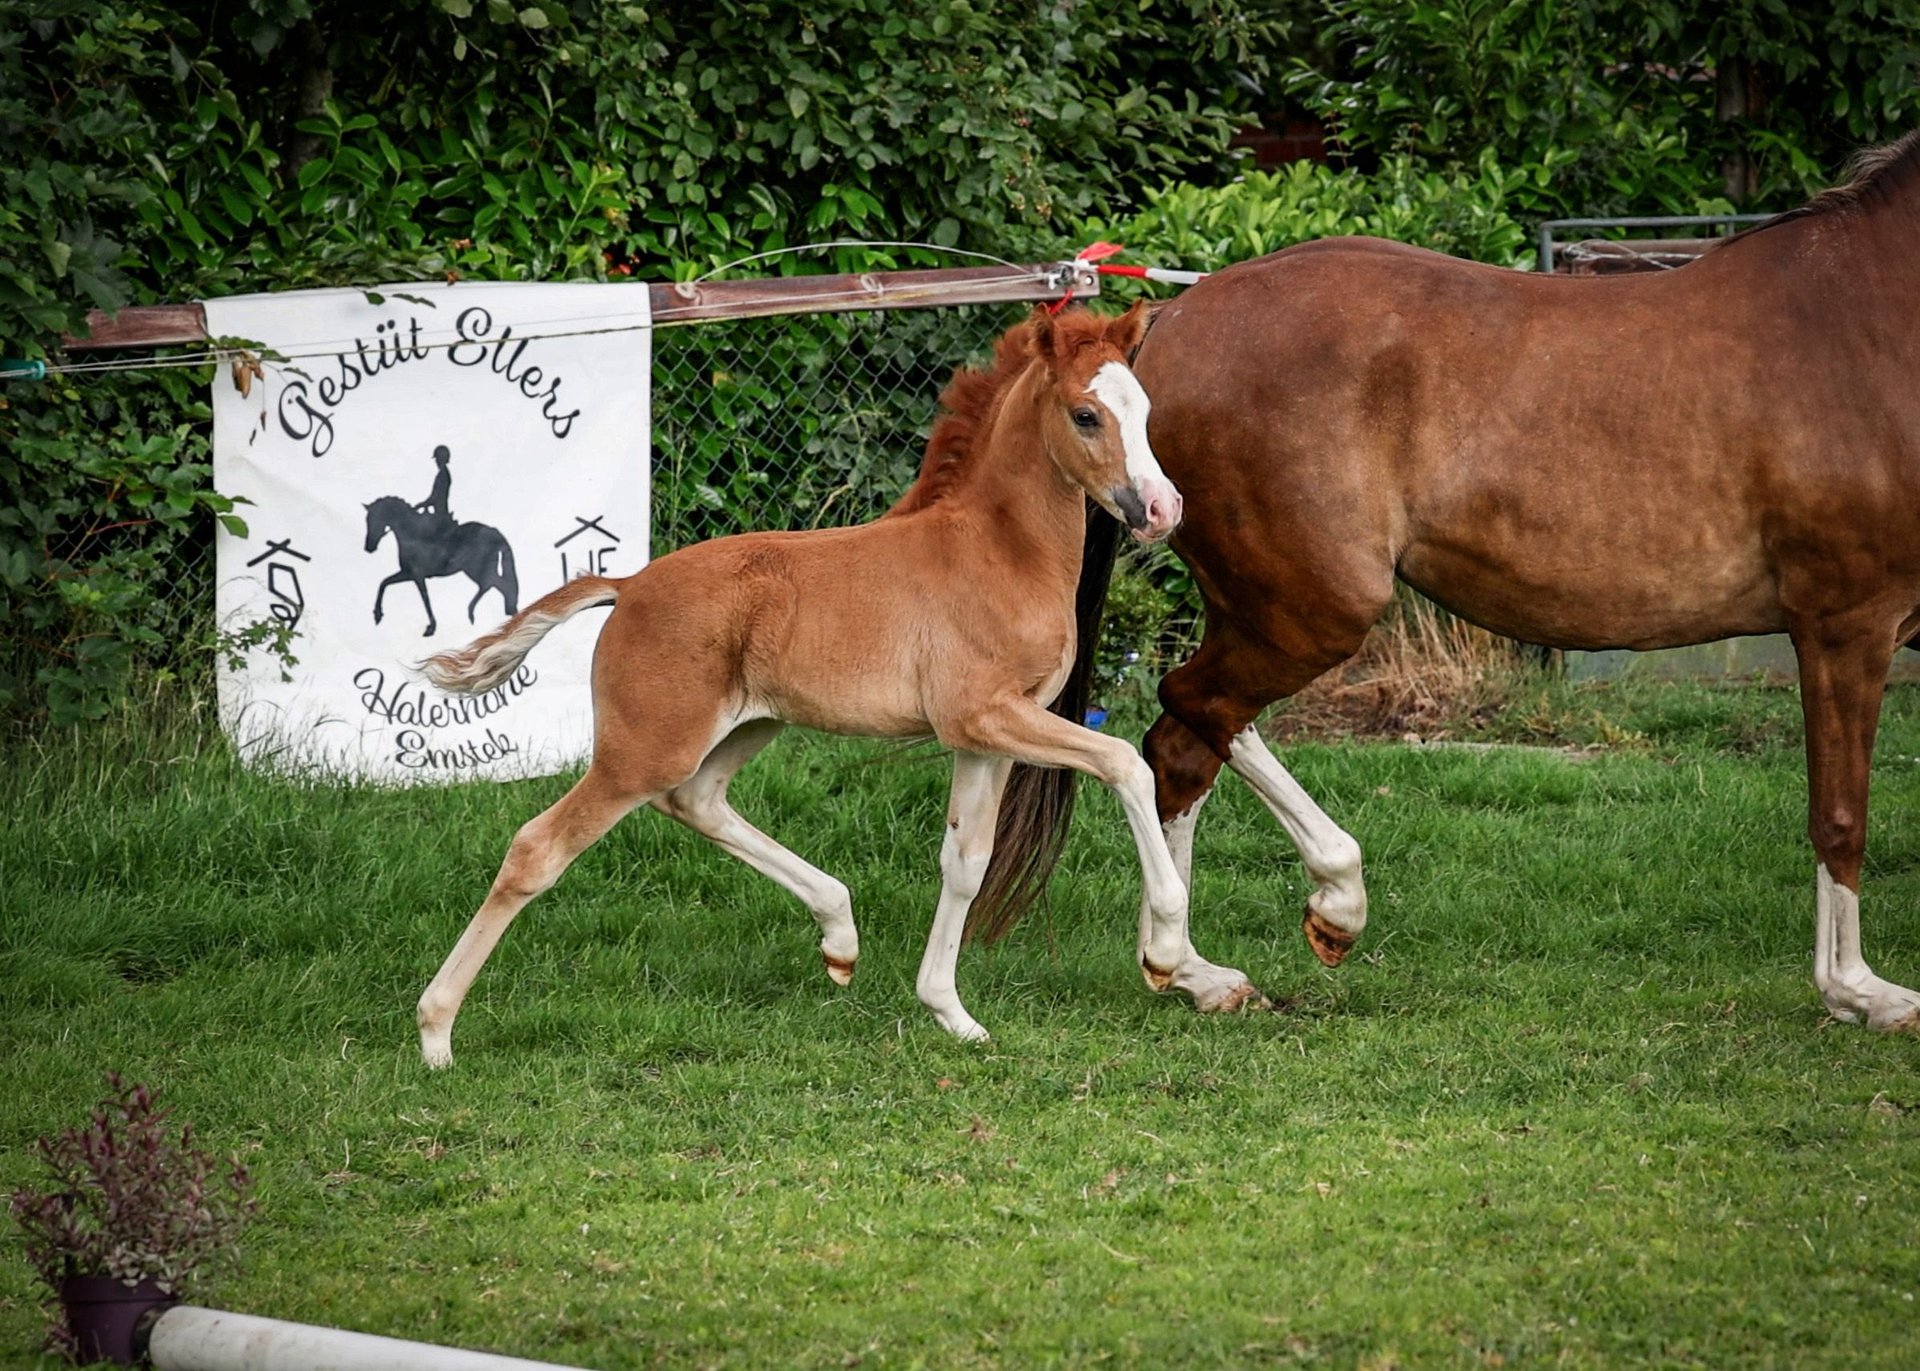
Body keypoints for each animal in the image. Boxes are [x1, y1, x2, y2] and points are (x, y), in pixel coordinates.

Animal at [363, 495, 520, 637]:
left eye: (375, 519)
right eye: (367, 520)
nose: (369, 547)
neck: (413, 535)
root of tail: (494, 531)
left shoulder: (415, 575)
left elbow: (425, 598)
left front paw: (430, 628)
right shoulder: (408, 573)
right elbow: (384, 583)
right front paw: (377, 615)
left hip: (477, 569)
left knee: (497, 585)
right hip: (475, 570)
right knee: (490, 585)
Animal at [411, 303, 1192, 1068]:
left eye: (1146, 408)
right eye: (1086, 415)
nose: (1162, 509)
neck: (998, 550)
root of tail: (628, 586)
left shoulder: (986, 734)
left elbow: (967, 862)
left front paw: (951, 1014)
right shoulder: (986, 716)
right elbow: (1126, 763)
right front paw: (1164, 951)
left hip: (750, 724)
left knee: (695, 800)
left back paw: (840, 935)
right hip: (645, 748)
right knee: (538, 847)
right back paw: (435, 1033)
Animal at [976, 132, 1920, 1034]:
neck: (1868, 326)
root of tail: (1175, 319)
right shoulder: (1846, 621)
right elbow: (1842, 813)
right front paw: (1862, 994)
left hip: (1269, 606)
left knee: (1187, 737)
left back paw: (1205, 971)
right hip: (1315, 605)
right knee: (1192, 714)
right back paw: (1309, 914)